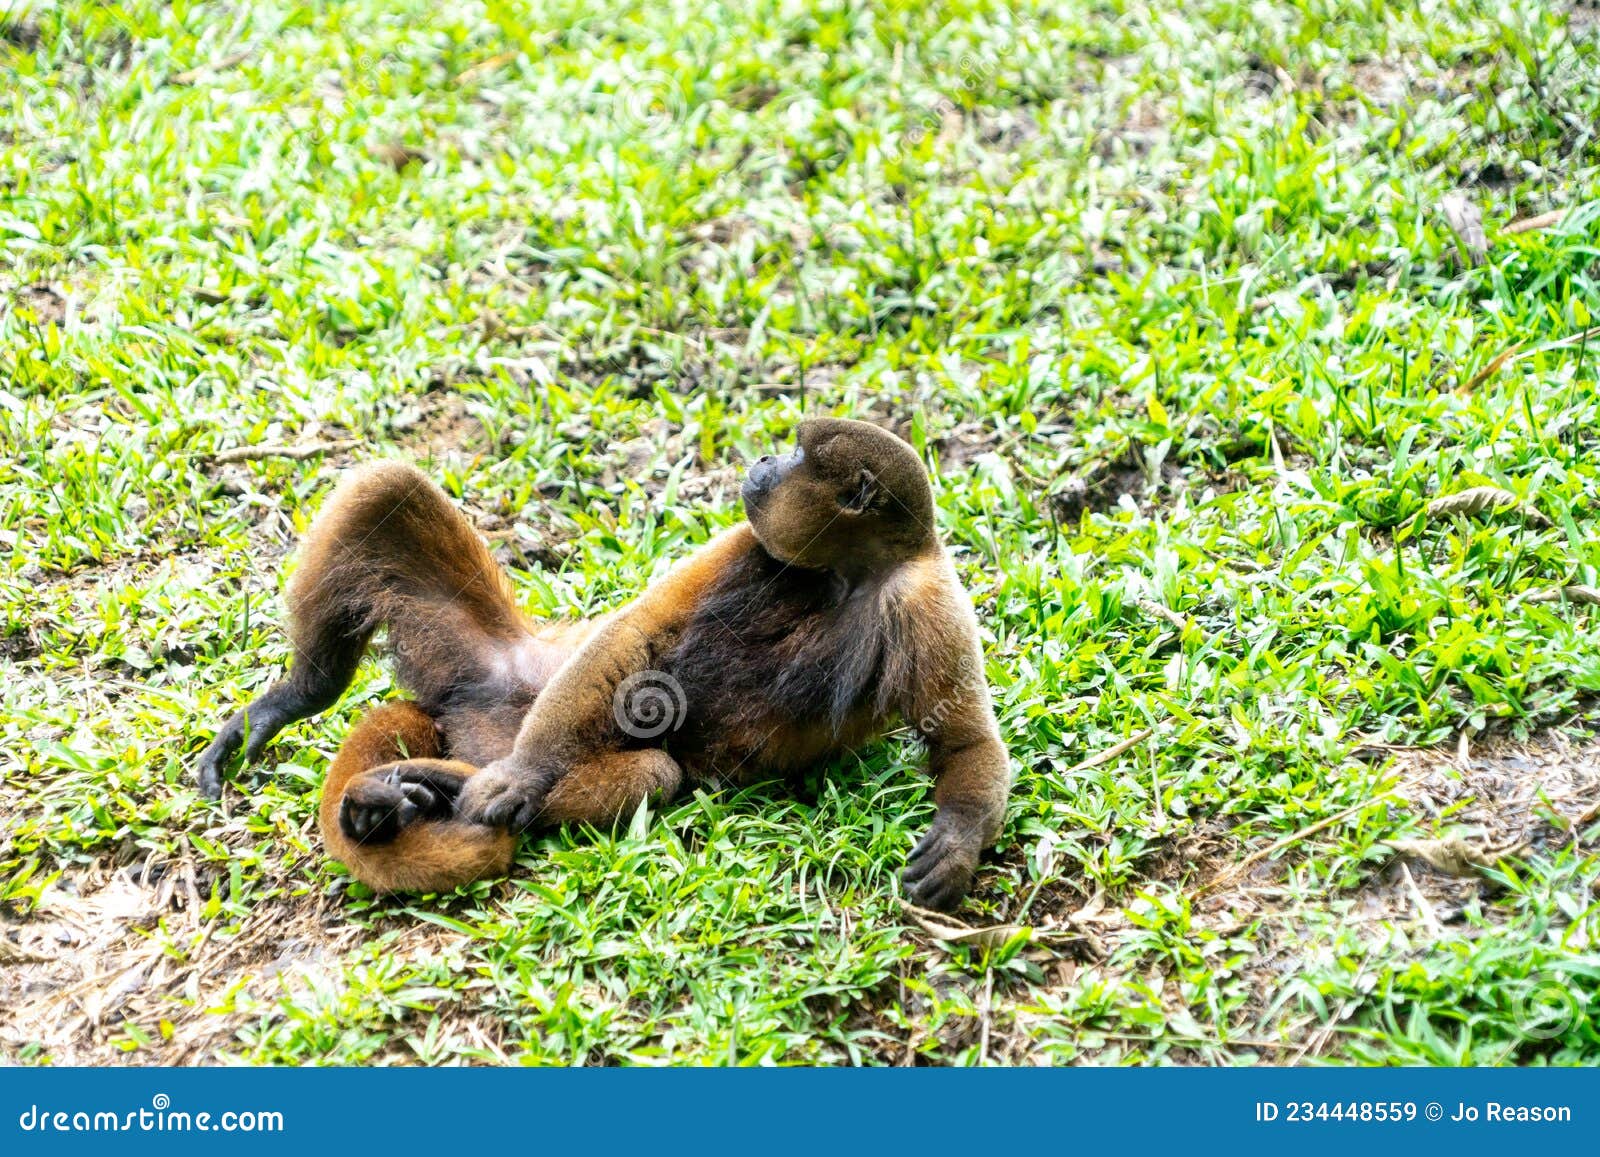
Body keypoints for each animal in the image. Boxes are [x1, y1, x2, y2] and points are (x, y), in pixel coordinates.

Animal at [195, 418, 1011, 910]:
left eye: (798, 457)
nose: (761, 461)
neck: (846, 572)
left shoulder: (927, 597)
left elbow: (965, 741)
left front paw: (959, 838)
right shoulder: (746, 540)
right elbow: (637, 631)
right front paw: (524, 776)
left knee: (654, 772)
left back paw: (422, 791)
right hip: (490, 662)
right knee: (385, 488)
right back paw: (303, 699)